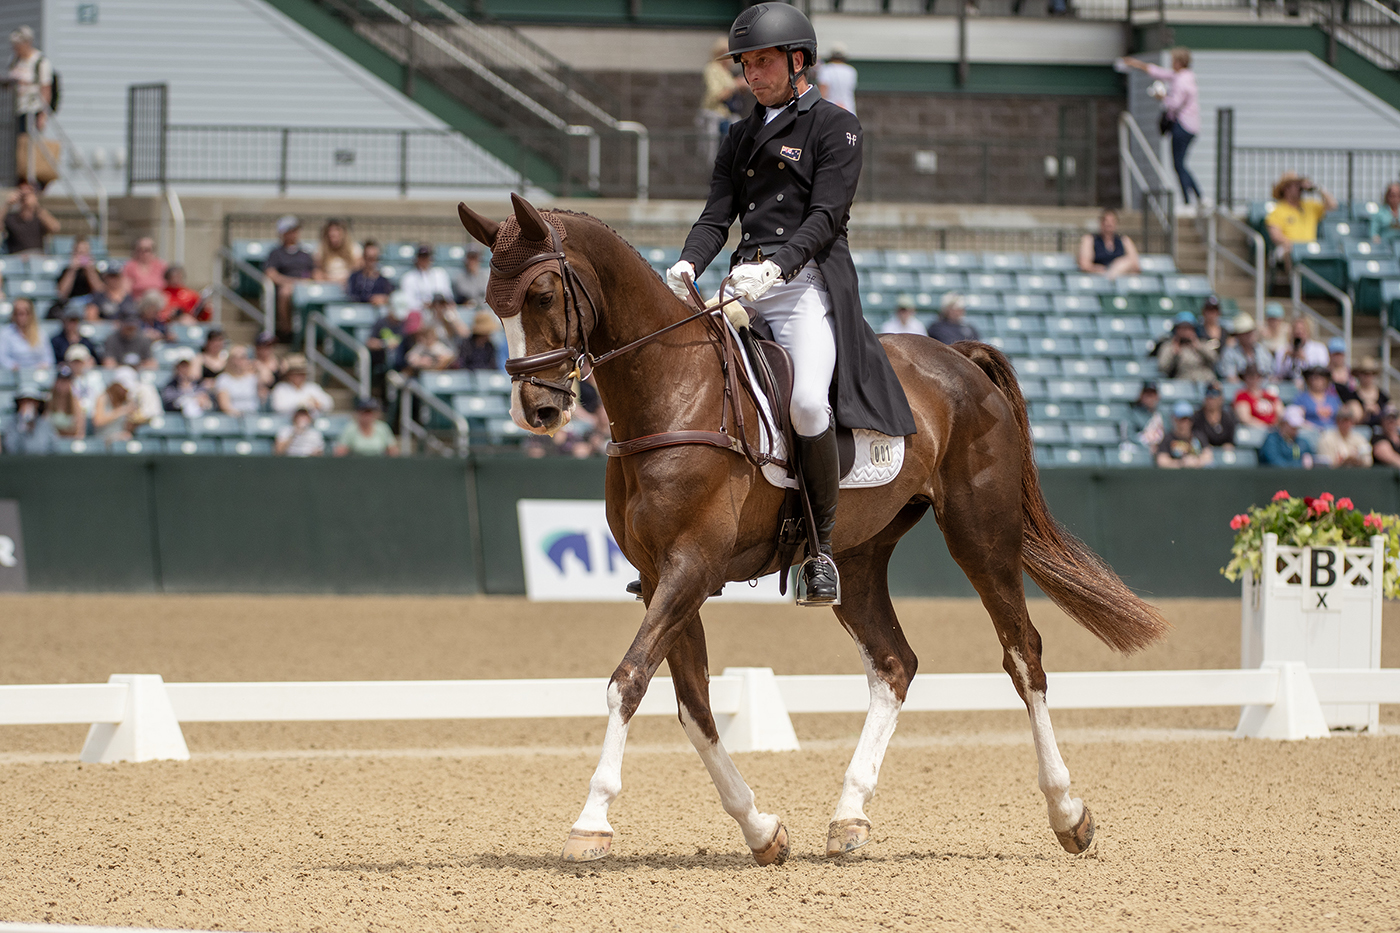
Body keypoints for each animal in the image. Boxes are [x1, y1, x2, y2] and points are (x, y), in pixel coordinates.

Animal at [457, 194, 1169, 866]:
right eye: (491, 306)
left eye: (541, 295)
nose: (536, 410)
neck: (672, 388)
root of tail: (957, 357)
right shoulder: (662, 576)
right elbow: (694, 704)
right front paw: (760, 828)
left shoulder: (692, 567)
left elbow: (628, 681)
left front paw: (591, 823)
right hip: (857, 556)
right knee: (894, 663)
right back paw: (849, 816)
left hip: (981, 535)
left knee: (1023, 653)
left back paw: (1067, 811)